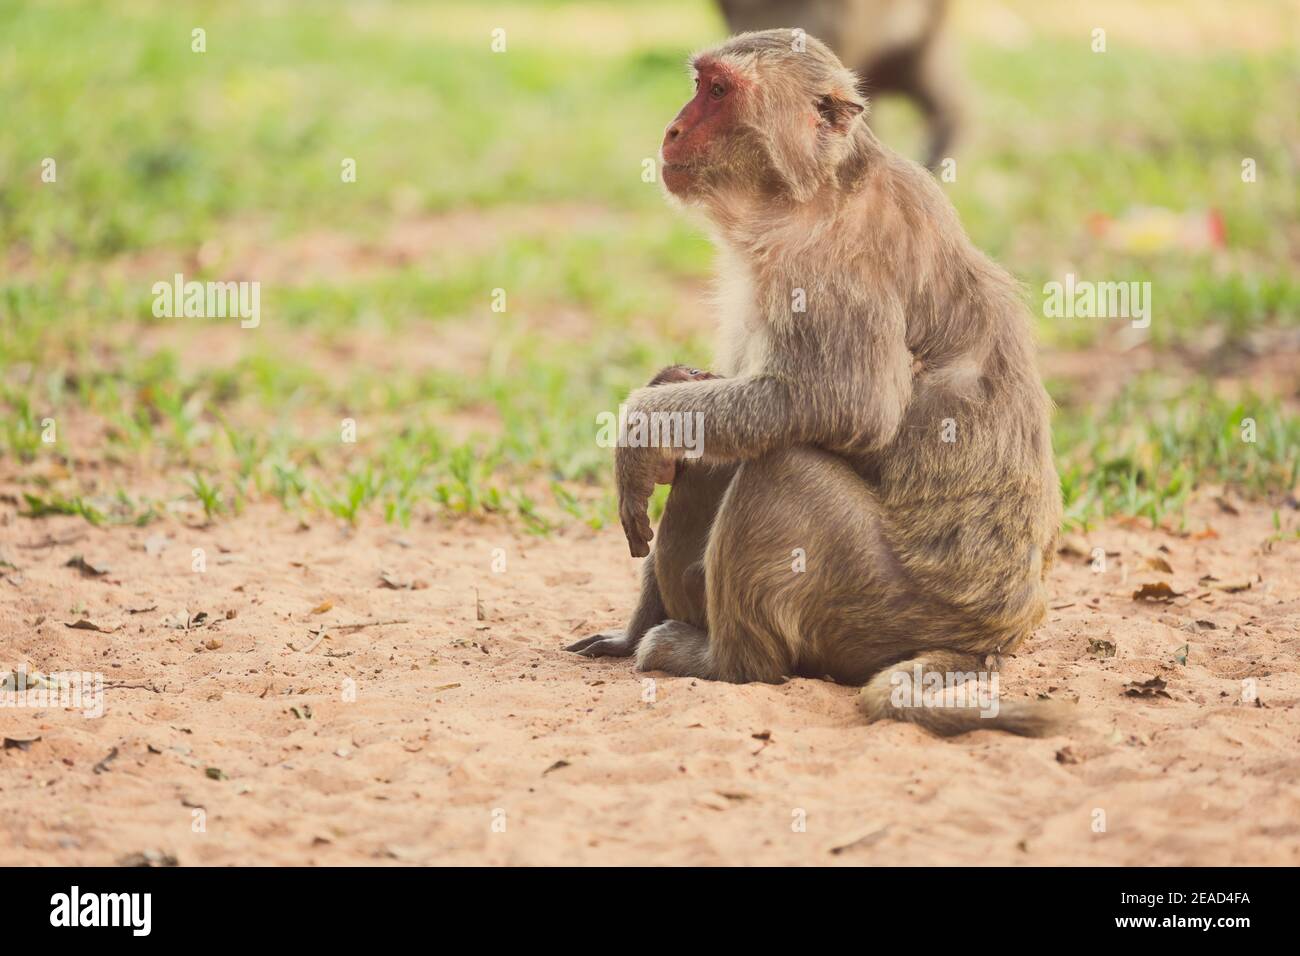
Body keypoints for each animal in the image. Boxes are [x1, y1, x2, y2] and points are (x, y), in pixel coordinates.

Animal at [567, 30, 1065, 737]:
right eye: (700, 85)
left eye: (717, 91)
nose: (671, 129)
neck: (805, 194)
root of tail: (991, 637)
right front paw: (667, 392)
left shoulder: (834, 264)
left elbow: (844, 404)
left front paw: (641, 423)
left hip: (884, 603)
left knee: (783, 468)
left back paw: (723, 660)